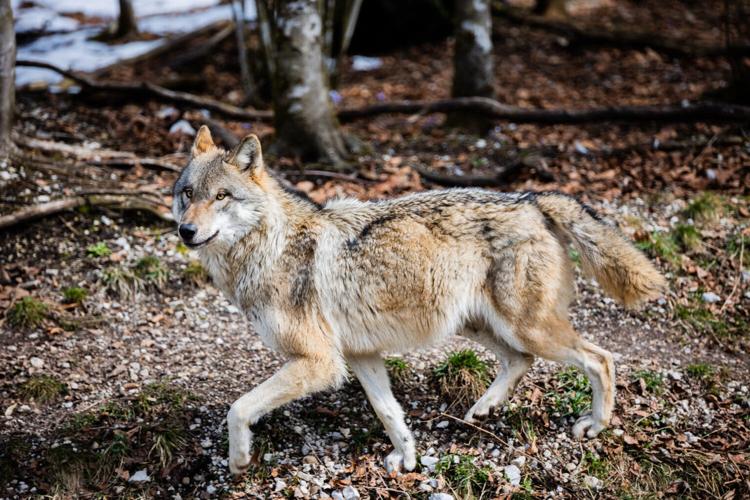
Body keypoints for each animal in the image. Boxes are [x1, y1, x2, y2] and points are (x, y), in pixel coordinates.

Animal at [172, 126, 665, 476]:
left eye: (222, 196)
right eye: (188, 194)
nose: (185, 231)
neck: (267, 247)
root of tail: (530, 199)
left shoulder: (319, 363)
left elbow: (239, 408)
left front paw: (238, 459)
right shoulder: (361, 355)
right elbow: (388, 412)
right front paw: (407, 460)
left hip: (528, 328)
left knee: (600, 358)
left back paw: (595, 425)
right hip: (479, 325)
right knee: (521, 361)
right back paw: (485, 407)